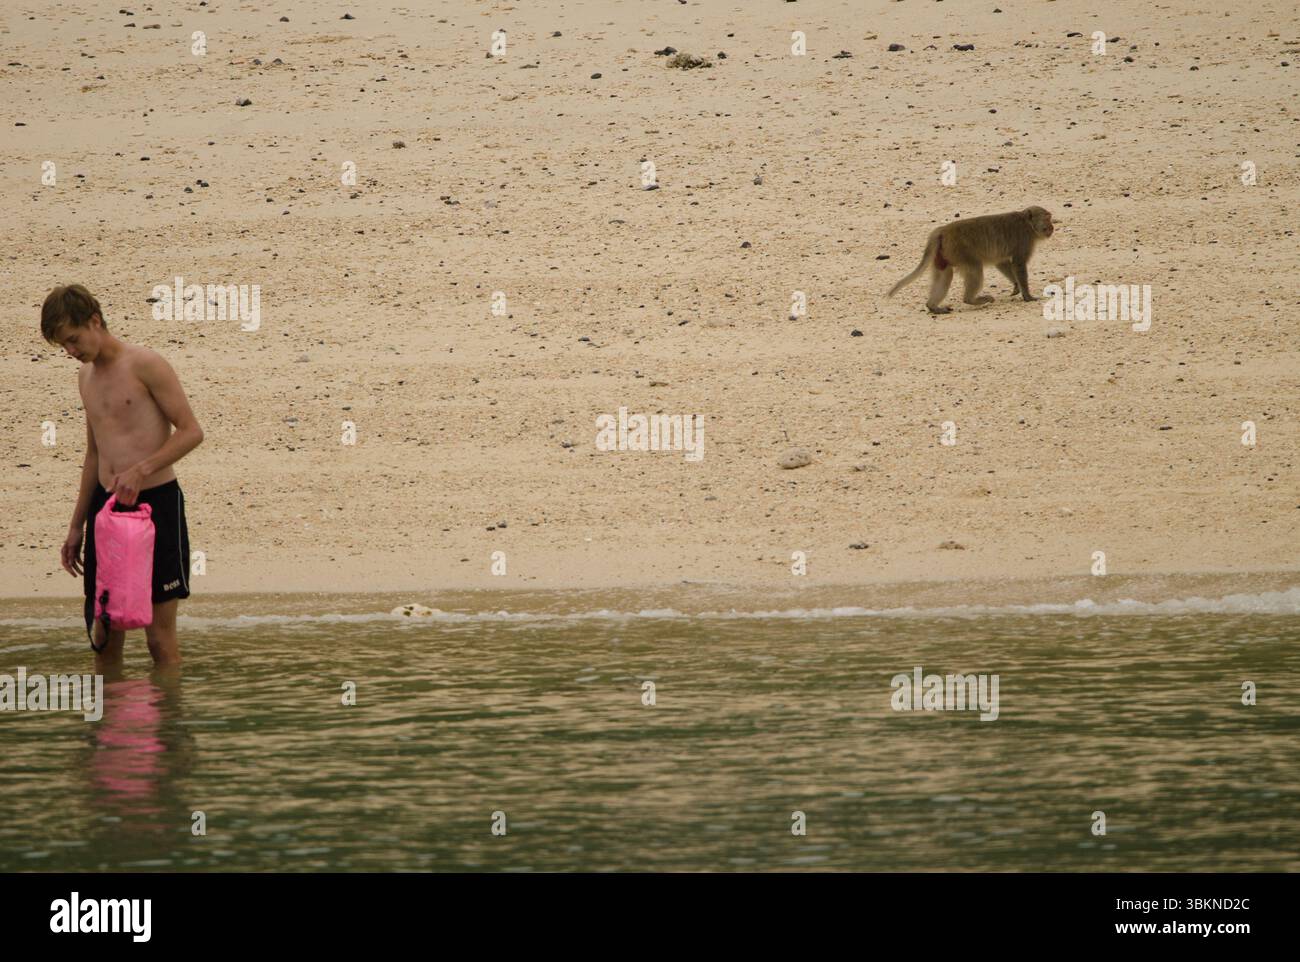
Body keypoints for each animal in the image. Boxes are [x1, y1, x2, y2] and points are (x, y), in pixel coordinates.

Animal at [888, 207, 1055, 314]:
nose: (1052, 227)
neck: (1028, 224)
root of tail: (942, 231)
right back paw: (971, 299)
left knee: (945, 275)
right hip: (960, 251)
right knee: (975, 269)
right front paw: (1027, 296)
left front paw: (1016, 286)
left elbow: (1001, 262)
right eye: (1048, 218)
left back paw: (933, 306)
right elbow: (1019, 264)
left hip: (943, 254)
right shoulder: (1025, 240)